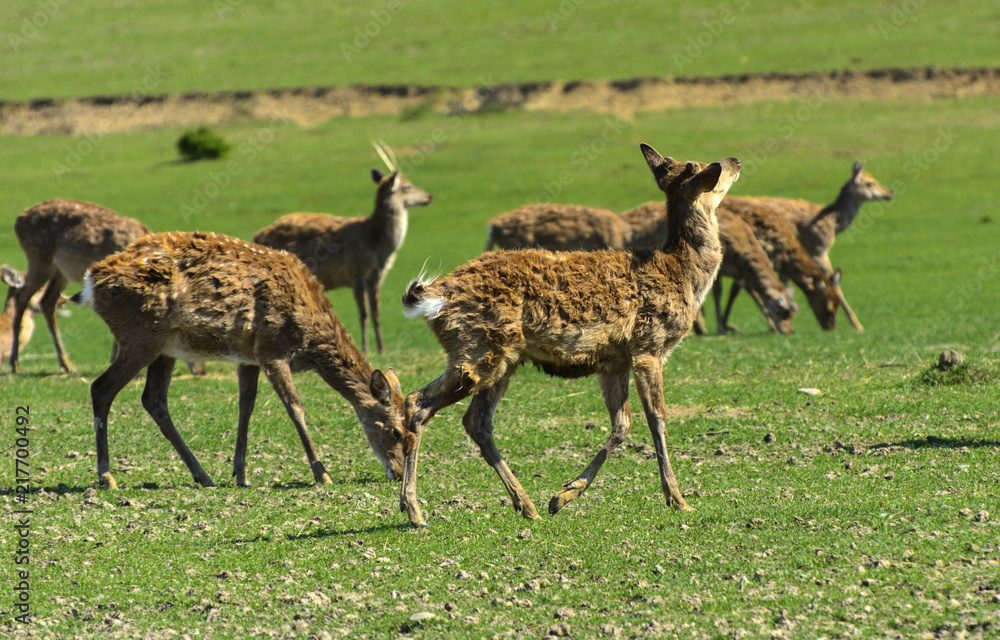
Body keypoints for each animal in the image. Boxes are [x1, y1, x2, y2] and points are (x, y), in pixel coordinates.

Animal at [7, 199, 151, 374]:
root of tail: (18, 220)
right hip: (39, 257)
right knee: (22, 296)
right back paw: (15, 363)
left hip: (59, 270)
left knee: (46, 301)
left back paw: (66, 364)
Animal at [72, 231, 406, 490]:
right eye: (397, 431)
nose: (400, 472)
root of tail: (89, 284)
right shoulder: (271, 348)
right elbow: (295, 407)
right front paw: (322, 474)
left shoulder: (249, 357)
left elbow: (246, 406)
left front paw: (241, 474)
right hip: (141, 336)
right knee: (101, 388)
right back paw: (107, 477)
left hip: (165, 347)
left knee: (153, 398)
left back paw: (203, 475)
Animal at [253, 142, 433, 354]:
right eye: (407, 186)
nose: (429, 196)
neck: (377, 246)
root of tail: (256, 236)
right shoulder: (355, 273)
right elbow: (363, 314)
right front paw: (366, 348)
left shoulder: (377, 276)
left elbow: (376, 313)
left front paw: (382, 349)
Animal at [395, 143, 741, 527]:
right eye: (713, 168)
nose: (736, 160)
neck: (684, 276)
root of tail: (434, 296)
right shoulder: (649, 345)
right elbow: (657, 419)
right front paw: (678, 499)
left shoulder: (614, 361)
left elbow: (621, 426)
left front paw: (562, 496)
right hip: (477, 349)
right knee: (419, 402)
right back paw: (414, 510)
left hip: (498, 359)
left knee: (475, 421)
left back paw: (526, 505)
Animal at [720, 161, 894, 331]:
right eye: (870, 183)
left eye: (873, 179)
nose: (890, 192)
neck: (833, 223)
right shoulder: (818, 250)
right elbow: (834, 285)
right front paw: (857, 325)